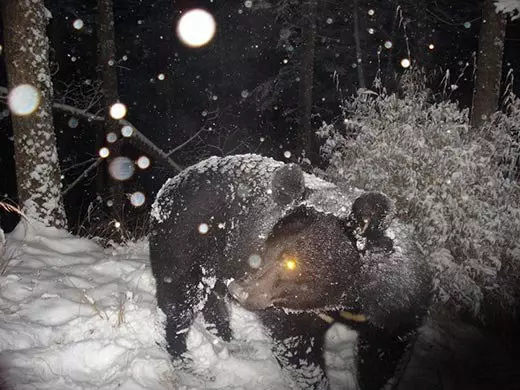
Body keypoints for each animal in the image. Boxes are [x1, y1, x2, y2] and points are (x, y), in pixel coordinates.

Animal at [149, 154, 430, 388]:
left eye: (292, 262)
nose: (240, 291)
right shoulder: (291, 310)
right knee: (181, 300)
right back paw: (187, 364)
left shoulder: (397, 307)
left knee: (211, 302)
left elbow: (384, 357)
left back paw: (233, 343)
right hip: (182, 245)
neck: (346, 299)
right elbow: (296, 347)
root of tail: (170, 185)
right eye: (266, 246)